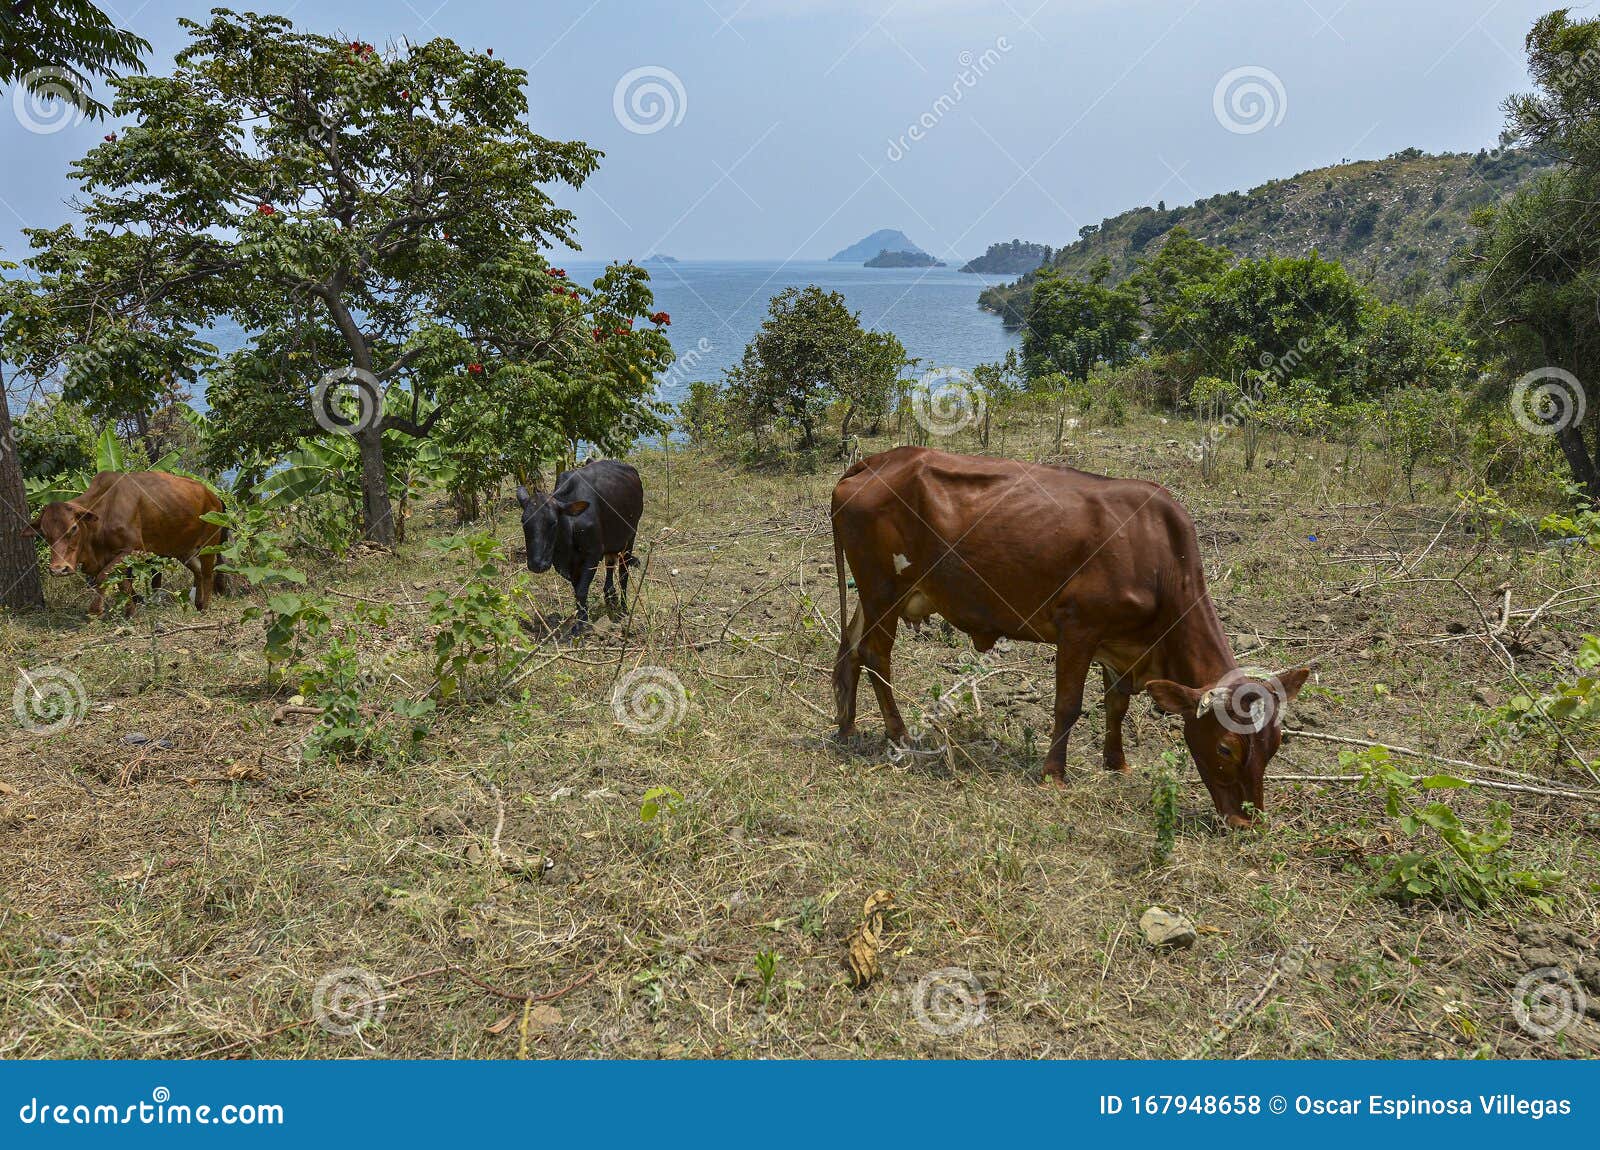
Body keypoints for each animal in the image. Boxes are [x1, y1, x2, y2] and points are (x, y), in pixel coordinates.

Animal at [25, 470, 227, 617]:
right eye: (43, 533)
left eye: (73, 528)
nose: (58, 569)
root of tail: (213, 495)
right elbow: (123, 583)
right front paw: (130, 610)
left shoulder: (135, 550)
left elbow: (103, 577)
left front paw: (95, 610)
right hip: (183, 550)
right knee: (198, 572)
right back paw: (198, 604)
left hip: (208, 545)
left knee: (208, 573)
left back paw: (205, 607)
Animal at [518, 460, 643, 634]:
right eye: (524, 521)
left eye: (553, 522)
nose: (537, 564)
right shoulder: (568, 565)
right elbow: (576, 590)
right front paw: (581, 617)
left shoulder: (593, 555)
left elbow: (582, 590)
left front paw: (581, 624)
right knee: (610, 563)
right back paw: (610, 596)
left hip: (630, 537)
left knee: (623, 573)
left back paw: (624, 608)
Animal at [830, 447, 1309, 829]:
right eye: (1226, 748)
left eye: (1276, 745)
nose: (1248, 822)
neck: (1159, 560)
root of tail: (877, 460)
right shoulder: (1078, 628)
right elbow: (1069, 705)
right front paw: (1054, 774)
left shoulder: (1120, 646)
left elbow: (1117, 705)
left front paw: (1117, 763)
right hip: (884, 590)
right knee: (874, 654)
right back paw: (899, 735)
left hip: (873, 595)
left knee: (848, 649)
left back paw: (846, 728)